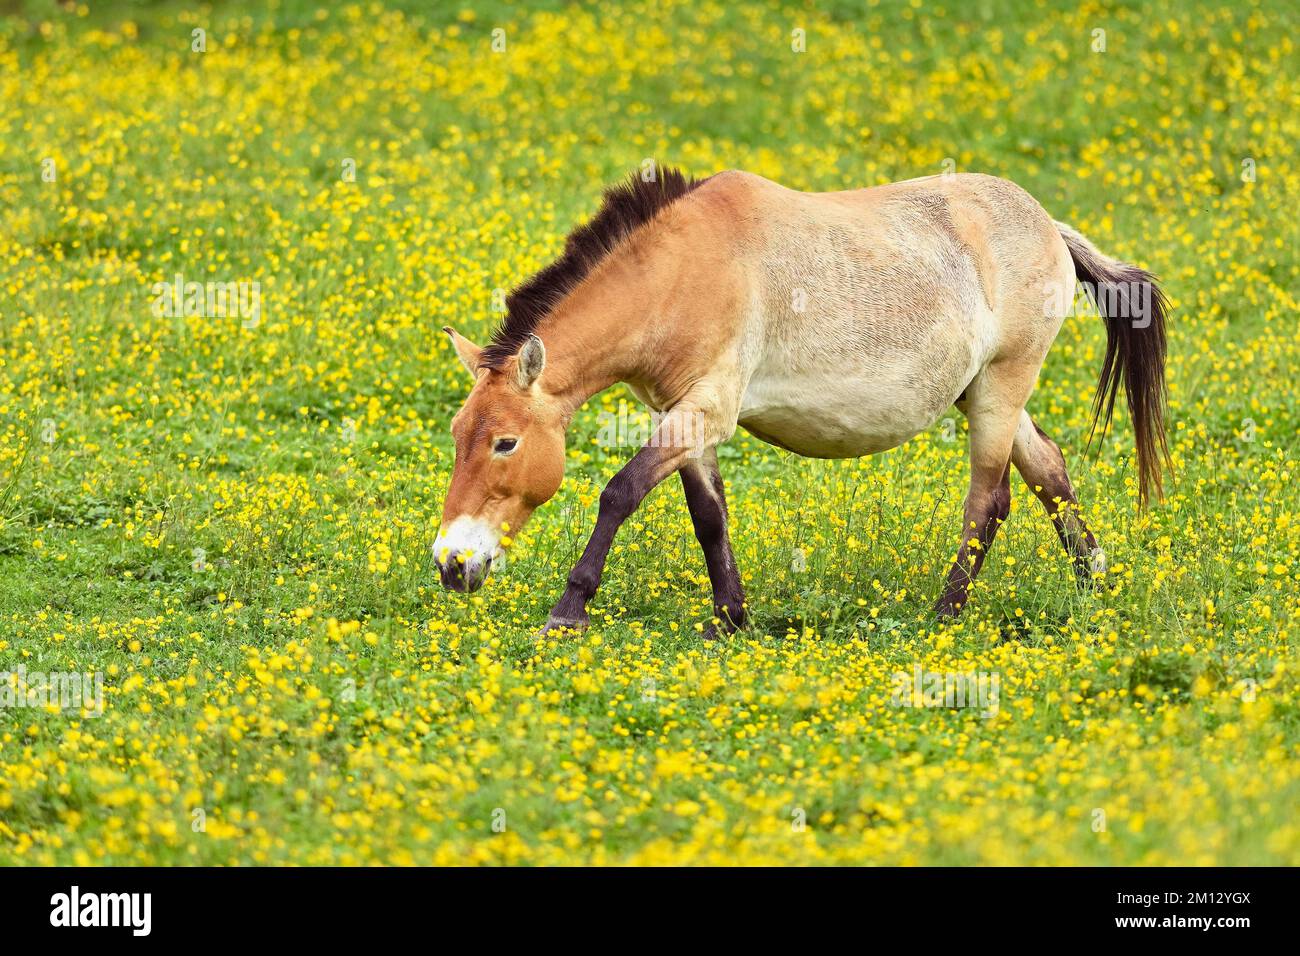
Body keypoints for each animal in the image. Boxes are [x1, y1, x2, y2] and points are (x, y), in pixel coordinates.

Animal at [434, 167, 1168, 635]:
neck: (684, 273)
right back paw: (1092, 586)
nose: (450, 565)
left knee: (988, 502)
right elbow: (709, 517)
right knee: (1049, 471)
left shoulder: (705, 410)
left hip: (1000, 389)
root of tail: (1049, 226)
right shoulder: (683, 416)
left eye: (505, 442)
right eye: (457, 433)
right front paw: (730, 620)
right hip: (984, 394)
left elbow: (620, 491)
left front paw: (567, 612)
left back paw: (945, 613)